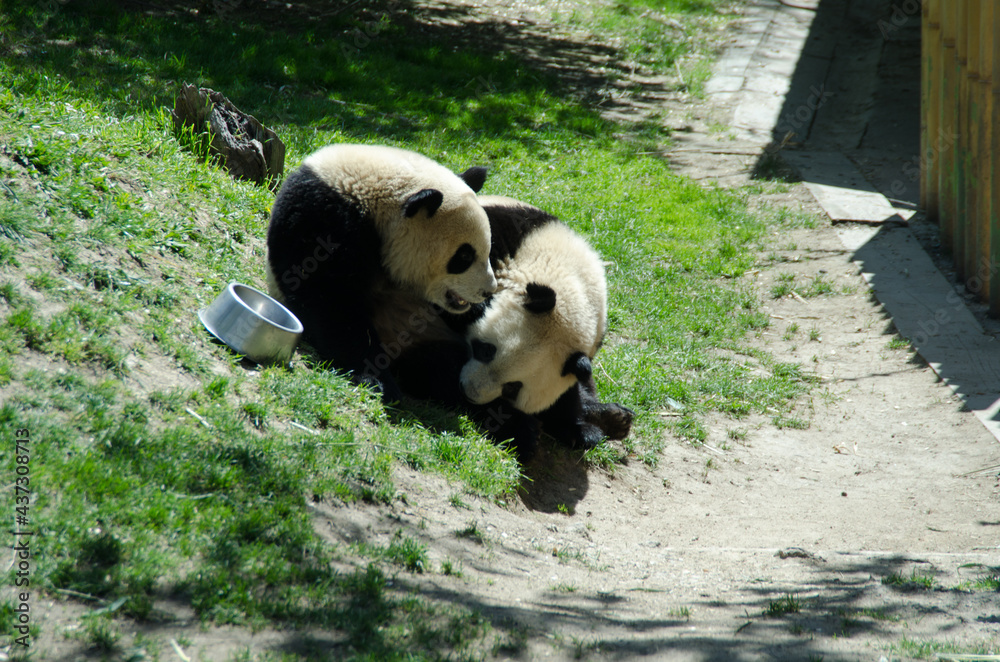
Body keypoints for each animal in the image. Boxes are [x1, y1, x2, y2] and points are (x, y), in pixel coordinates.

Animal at [264, 143, 496, 402]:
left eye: (487, 249)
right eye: (464, 256)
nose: (488, 291)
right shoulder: (323, 221)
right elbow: (329, 300)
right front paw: (377, 381)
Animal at [388, 195, 634, 460]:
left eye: (512, 389)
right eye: (486, 350)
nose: (469, 392)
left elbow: (569, 390)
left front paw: (580, 428)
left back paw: (614, 417)